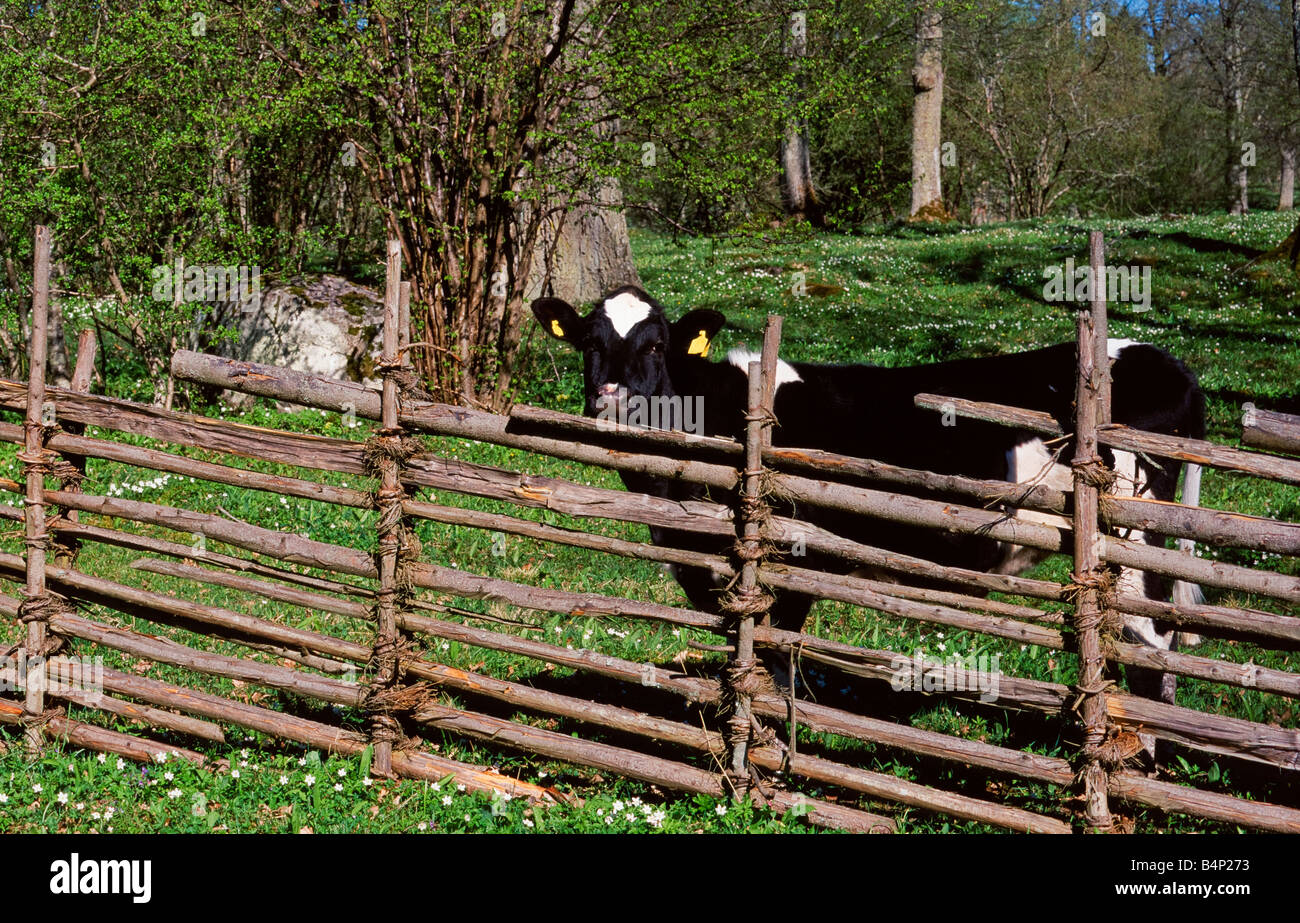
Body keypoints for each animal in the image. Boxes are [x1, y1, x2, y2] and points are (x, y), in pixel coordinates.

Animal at [532, 285, 1206, 718]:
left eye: (654, 345)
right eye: (588, 344)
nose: (611, 399)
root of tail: (1163, 359)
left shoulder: (791, 563)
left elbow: (778, 660)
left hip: (1135, 536)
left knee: (1155, 651)